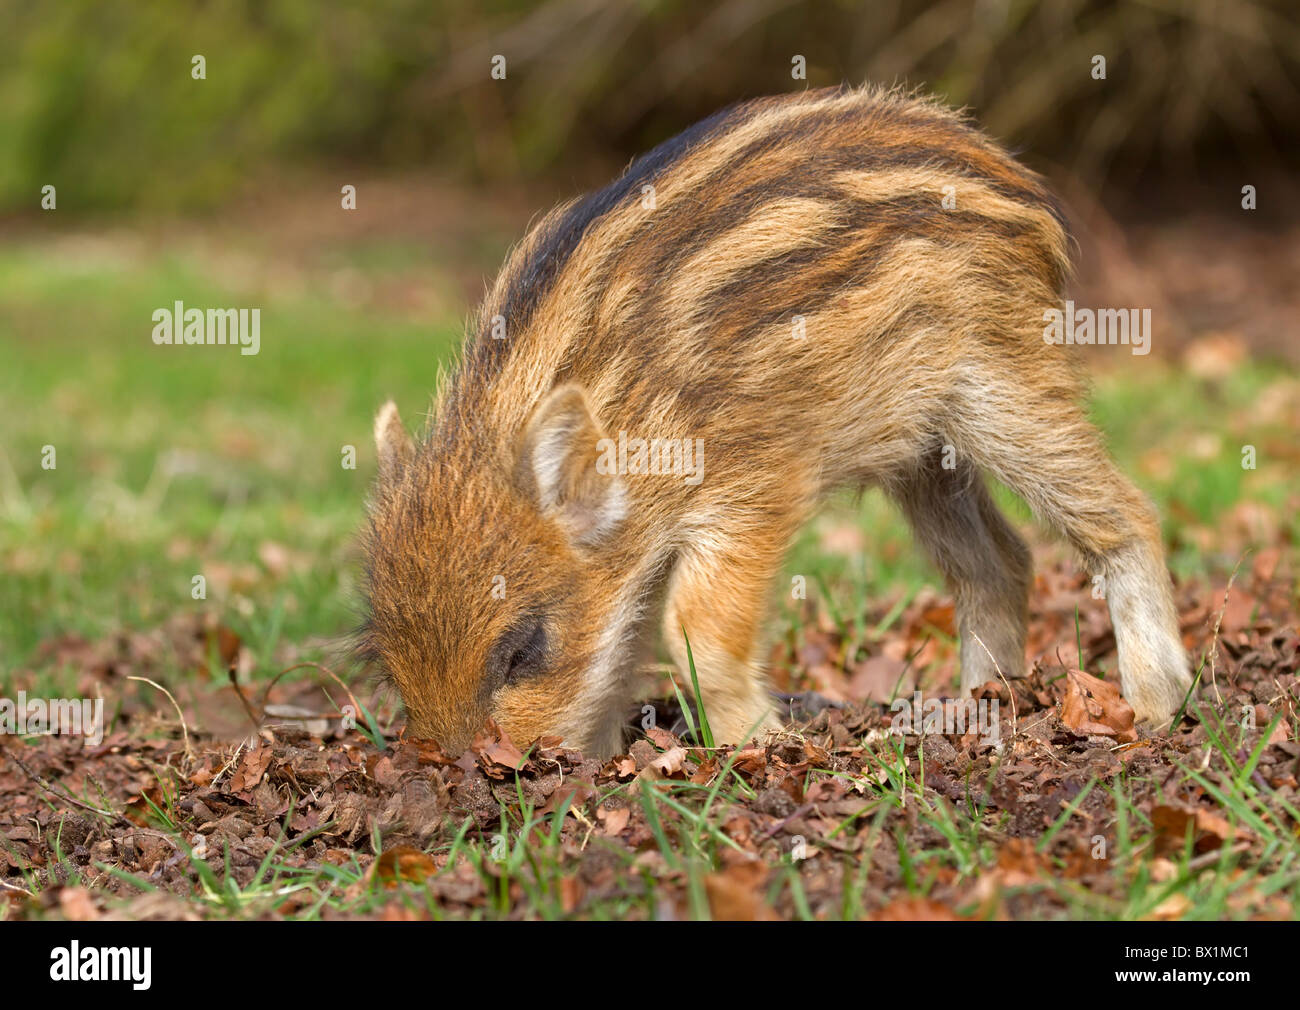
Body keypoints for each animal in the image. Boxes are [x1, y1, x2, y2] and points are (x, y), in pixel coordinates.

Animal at [359, 84, 1192, 758]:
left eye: (523, 649)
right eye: (388, 662)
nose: (484, 774)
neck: (628, 402)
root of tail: (1018, 180)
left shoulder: (752, 477)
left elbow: (694, 628)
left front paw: (761, 746)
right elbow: (625, 643)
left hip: (1003, 380)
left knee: (1125, 516)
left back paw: (1156, 705)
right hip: (922, 448)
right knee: (1000, 561)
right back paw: (971, 708)